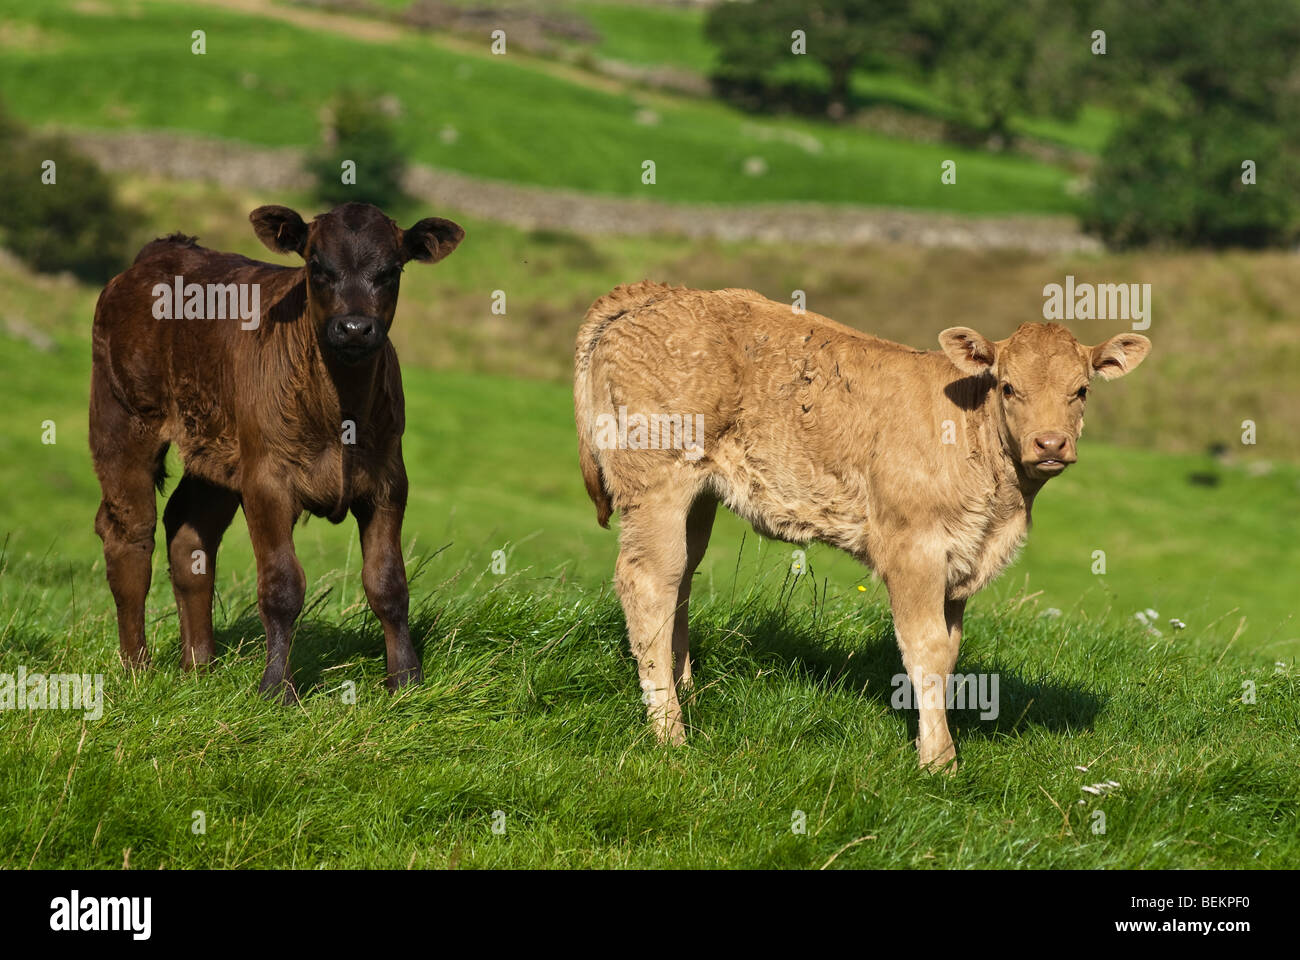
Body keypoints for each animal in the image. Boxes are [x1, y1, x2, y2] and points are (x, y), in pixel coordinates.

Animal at [90, 202, 464, 701]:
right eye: (316, 266)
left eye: (391, 270)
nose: (354, 327)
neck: (338, 412)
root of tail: (164, 251)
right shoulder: (267, 483)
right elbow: (282, 587)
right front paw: (275, 688)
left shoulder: (388, 481)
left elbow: (388, 584)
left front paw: (405, 680)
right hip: (123, 418)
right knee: (129, 532)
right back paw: (137, 669)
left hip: (219, 451)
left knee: (189, 532)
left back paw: (200, 668)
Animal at [573, 281, 1150, 771]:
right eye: (1008, 387)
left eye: (1081, 390)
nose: (1050, 443)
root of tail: (654, 293)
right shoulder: (913, 547)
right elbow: (925, 648)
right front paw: (939, 761)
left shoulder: (962, 557)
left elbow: (949, 652)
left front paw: (931, 742)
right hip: (656, 481)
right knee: (650, 582)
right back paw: (670, 734)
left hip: (698, 496)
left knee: (682, 581)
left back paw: (689, 695)